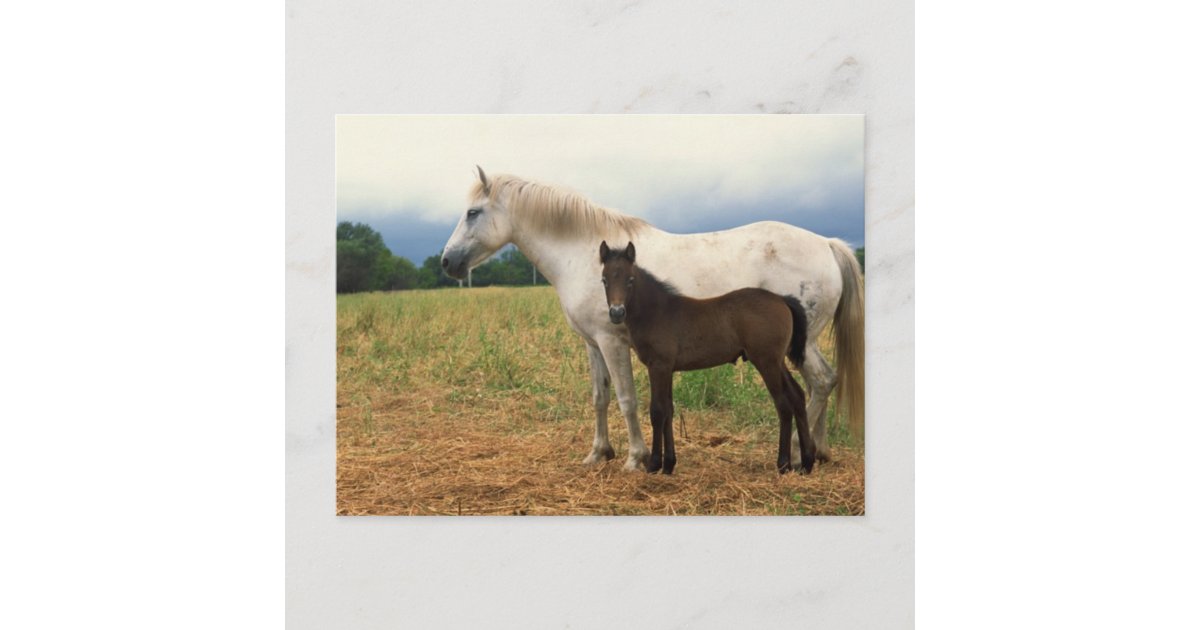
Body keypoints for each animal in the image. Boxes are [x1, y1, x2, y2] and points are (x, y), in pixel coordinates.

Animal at [599, 240, 816, 475]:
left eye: (630, 280)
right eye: (604, 280)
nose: (617, 313)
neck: (658, 312)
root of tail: (782, 299)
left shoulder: (658, 366)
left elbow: (657, 411)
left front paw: (655, 464)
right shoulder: (668, 369)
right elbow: (668, 410)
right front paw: (669, 465)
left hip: (767, 362)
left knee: (783, 403)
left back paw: (783, 463)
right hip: (778, 361)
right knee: (797, 395)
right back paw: (807, 462)